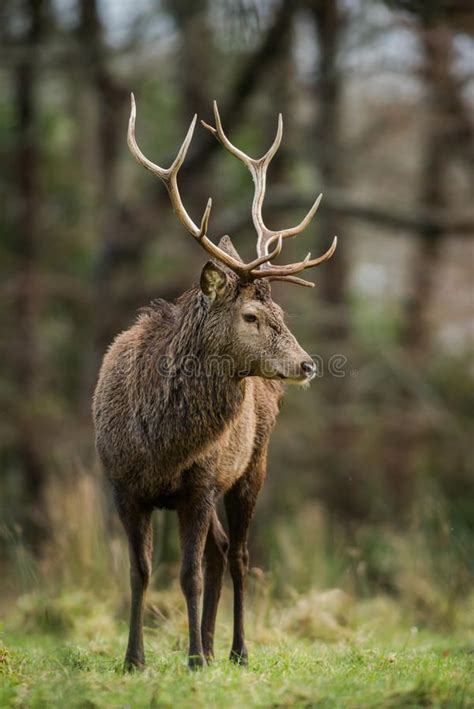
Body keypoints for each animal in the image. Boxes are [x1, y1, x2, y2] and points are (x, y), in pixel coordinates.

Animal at [92, 95, 337, 671]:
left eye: (282, 312)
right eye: (252, 315)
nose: (307, 365)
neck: (161, 444)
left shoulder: (199, 484)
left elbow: (188, 574)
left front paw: (192, 660)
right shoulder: (122, 484)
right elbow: (139, 573)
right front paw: (134, 659)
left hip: (253, 464)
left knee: (239, 554)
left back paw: (234, 650)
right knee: (223, 550)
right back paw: (207, 642)